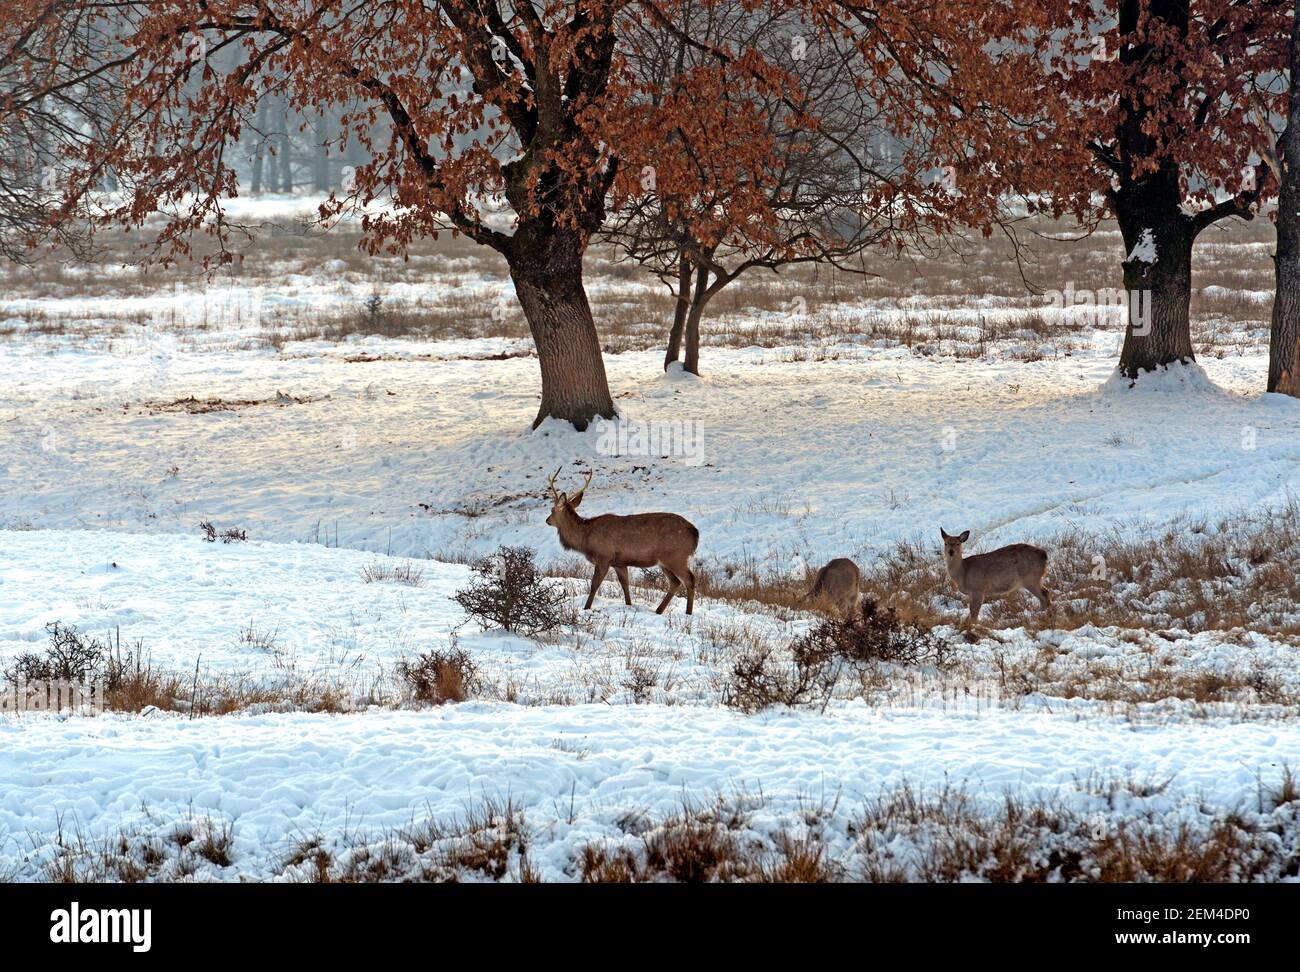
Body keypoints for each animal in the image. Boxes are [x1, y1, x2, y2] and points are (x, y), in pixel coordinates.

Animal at [545, 468, 700, 614]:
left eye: (552, 510)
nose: (547, 520)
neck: (585, 540)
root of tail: (695, 533)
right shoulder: (619, 563)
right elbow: (625, 585)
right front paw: (629, 605)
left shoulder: (604, 557)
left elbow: (594, 585)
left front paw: (586, 607)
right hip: (665, 561)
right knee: (675, 582)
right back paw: (658, 611)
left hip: (676, 556)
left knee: (690, 579)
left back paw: (688, 613)